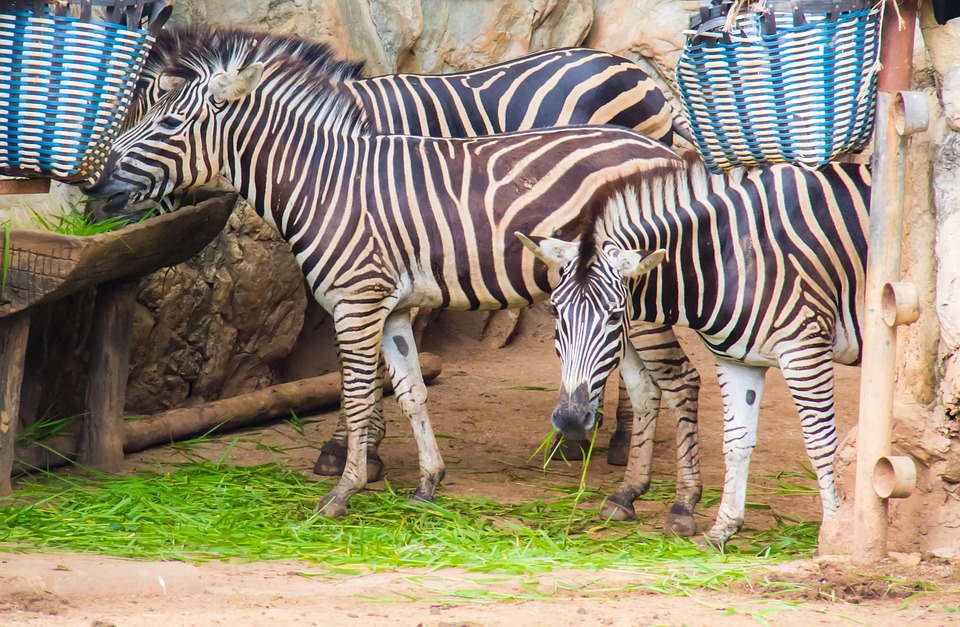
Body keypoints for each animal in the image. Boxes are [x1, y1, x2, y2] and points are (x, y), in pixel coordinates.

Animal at [81, 28, 697, 524]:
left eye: (166, 121)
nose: (93, 191)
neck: (324, 181)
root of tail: (659, 144)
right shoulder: (394, 307)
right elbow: (410, 391)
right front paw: (427, 483)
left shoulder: (357, 299)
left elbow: (355, 392)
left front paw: (343, 487)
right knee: (646, 387)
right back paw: (623, 493)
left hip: (636, 294)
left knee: (679, 380)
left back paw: (675, 504)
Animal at [518, 156, 869, 545]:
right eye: (555, 311)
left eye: (614, 315)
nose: (569, 419)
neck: (731, 254)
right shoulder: (736, 360)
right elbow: (736, 442)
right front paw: (722, 530)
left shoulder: (805, 349)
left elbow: (822, 443)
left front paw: (833, 533)